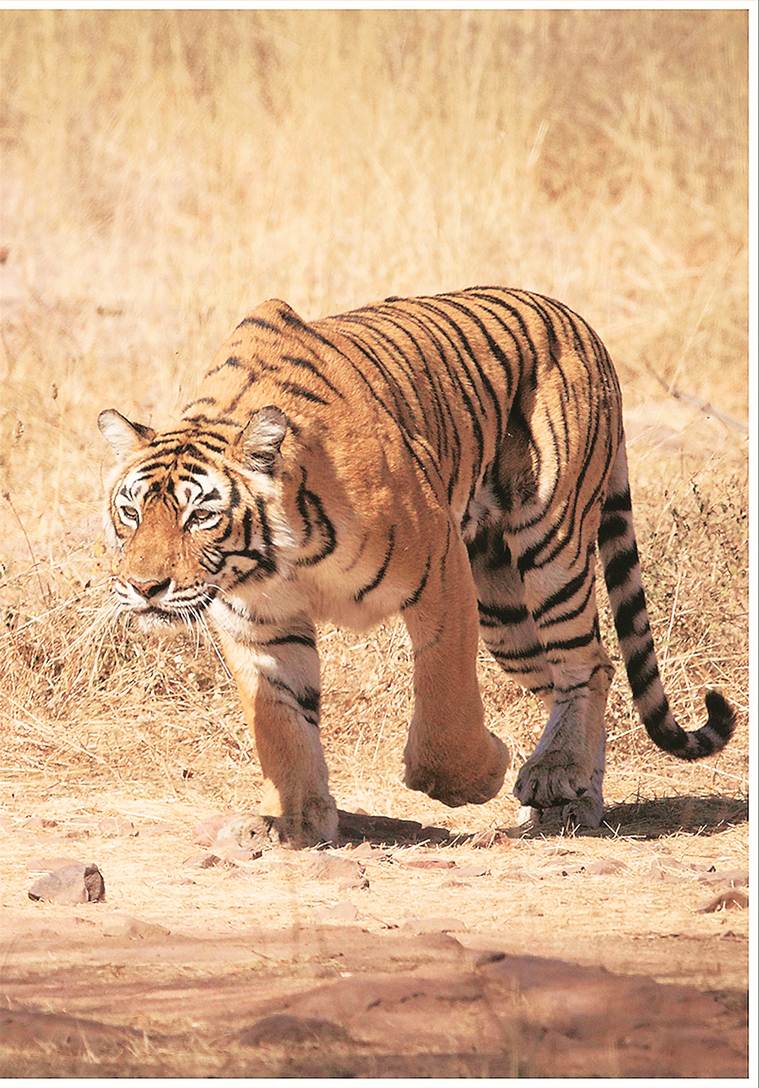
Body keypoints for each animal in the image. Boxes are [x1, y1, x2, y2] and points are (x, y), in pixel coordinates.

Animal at [98, 287, 736, 848]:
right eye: (130, 512)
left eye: (201, 515)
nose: (144, 587)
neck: (277, 560)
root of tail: (580, 324)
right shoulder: (260, 624)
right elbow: (283, 725)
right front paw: (296, 820)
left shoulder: (439, 564)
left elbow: (444, 698)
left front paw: (476, 777)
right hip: (506, 613)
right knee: (570, 674)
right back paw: (573, 796)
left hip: (551, 543)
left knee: (588, 663)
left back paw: (556, 779)